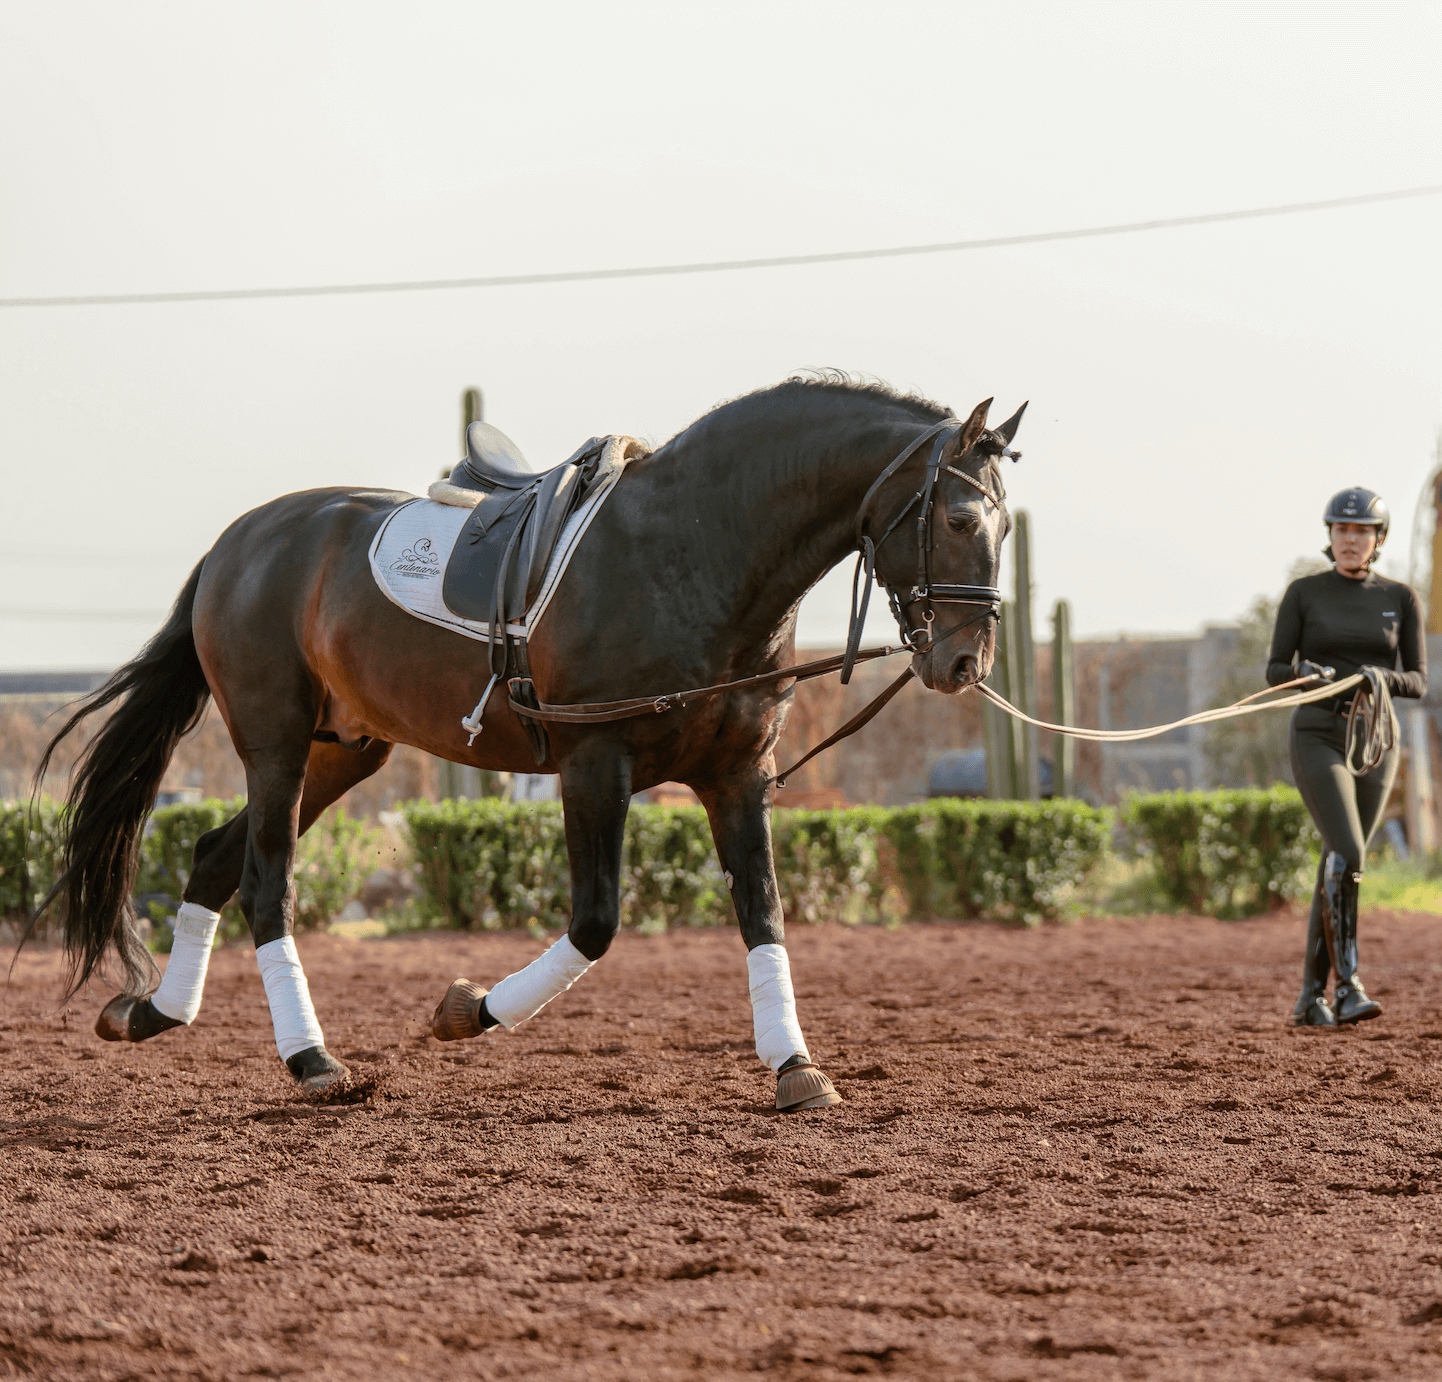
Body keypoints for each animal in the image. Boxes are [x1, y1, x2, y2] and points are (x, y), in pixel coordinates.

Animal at [32, 375, 1021, 1111]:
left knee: (211, 857)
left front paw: (795, 1066)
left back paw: (152, 1014)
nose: (964, 663)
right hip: (274, 743)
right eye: (960, 521)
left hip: (341, 750)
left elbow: (764, 913)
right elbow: (594, 925)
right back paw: (313, 1062)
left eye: (1007, 526)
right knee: (267, 885)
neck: (692, 553)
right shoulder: (594, 766)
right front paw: (465, 1012)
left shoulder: (739, 775)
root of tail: (241, 540)